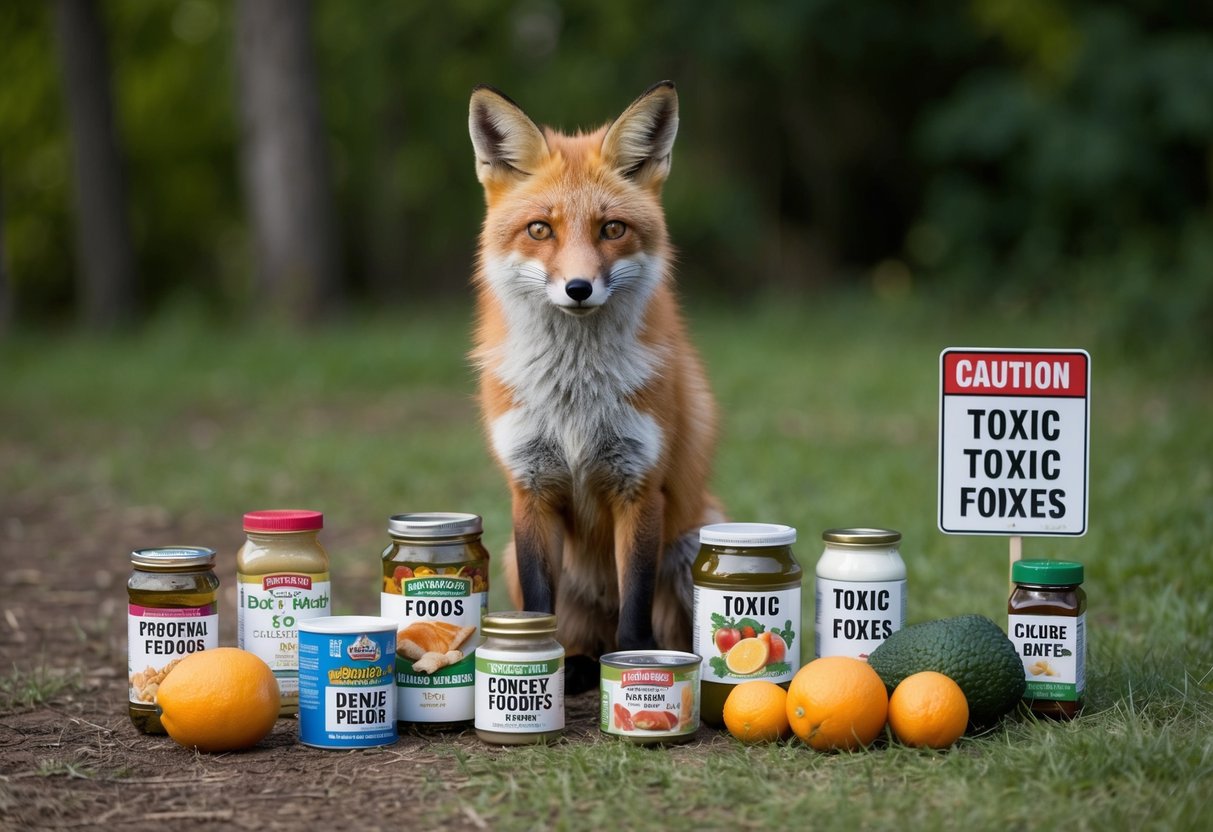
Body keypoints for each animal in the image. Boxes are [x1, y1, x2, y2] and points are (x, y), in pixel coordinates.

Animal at [467, 81, 724, 692]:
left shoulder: (639, 486)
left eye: (612, 229)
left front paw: (637, 665)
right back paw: (579, 665)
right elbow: (539, 606)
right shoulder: (530, 488)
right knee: (579, 635)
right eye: (541, 229)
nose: (579, 288)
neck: (575, 398)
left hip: (697, 540)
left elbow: (635, 612)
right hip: (511, 553)